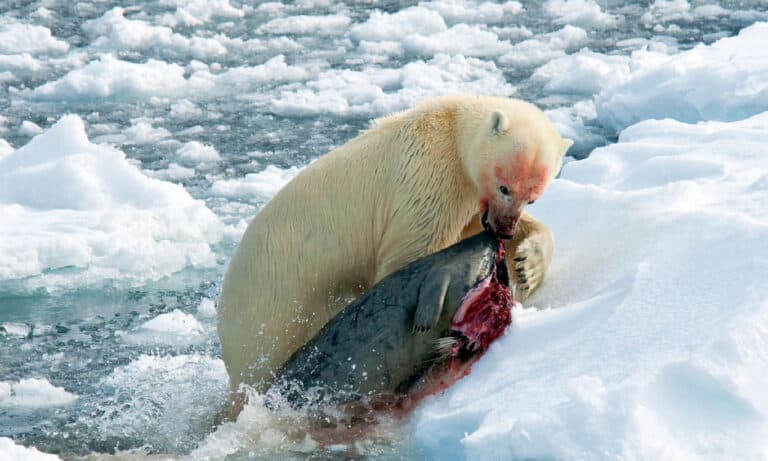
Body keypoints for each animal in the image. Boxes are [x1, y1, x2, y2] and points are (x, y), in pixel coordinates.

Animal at [218, 94, 572, 407]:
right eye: (504, 187)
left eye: (532, 196)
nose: (504, 228)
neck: (452, 132)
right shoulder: (430, 179)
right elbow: (412, 251)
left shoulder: (469, 199)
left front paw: (527, 267)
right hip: (275, 310)